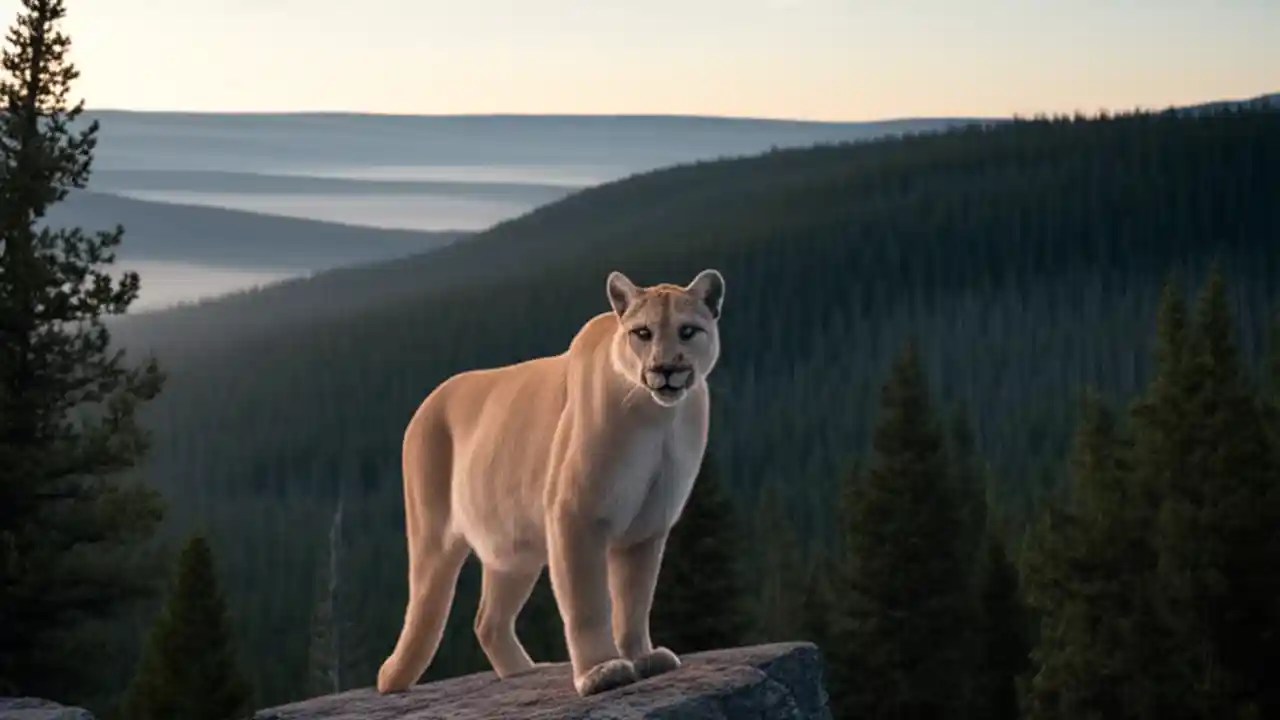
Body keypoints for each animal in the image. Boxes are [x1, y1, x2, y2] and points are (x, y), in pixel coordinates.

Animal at [376, 269, 725, 697]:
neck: (658, 417)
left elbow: (634, 598)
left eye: (687, 331)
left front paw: (642, 656)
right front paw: (601, 670)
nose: (665, 368)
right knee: (428, 607)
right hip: (433, 537)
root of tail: (426, 404)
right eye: (642, 333)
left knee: (487, 620)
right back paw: (392, 680)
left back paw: (524, 671)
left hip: (514, 550)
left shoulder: (646, 526)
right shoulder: (576, 514)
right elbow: (587, 599)